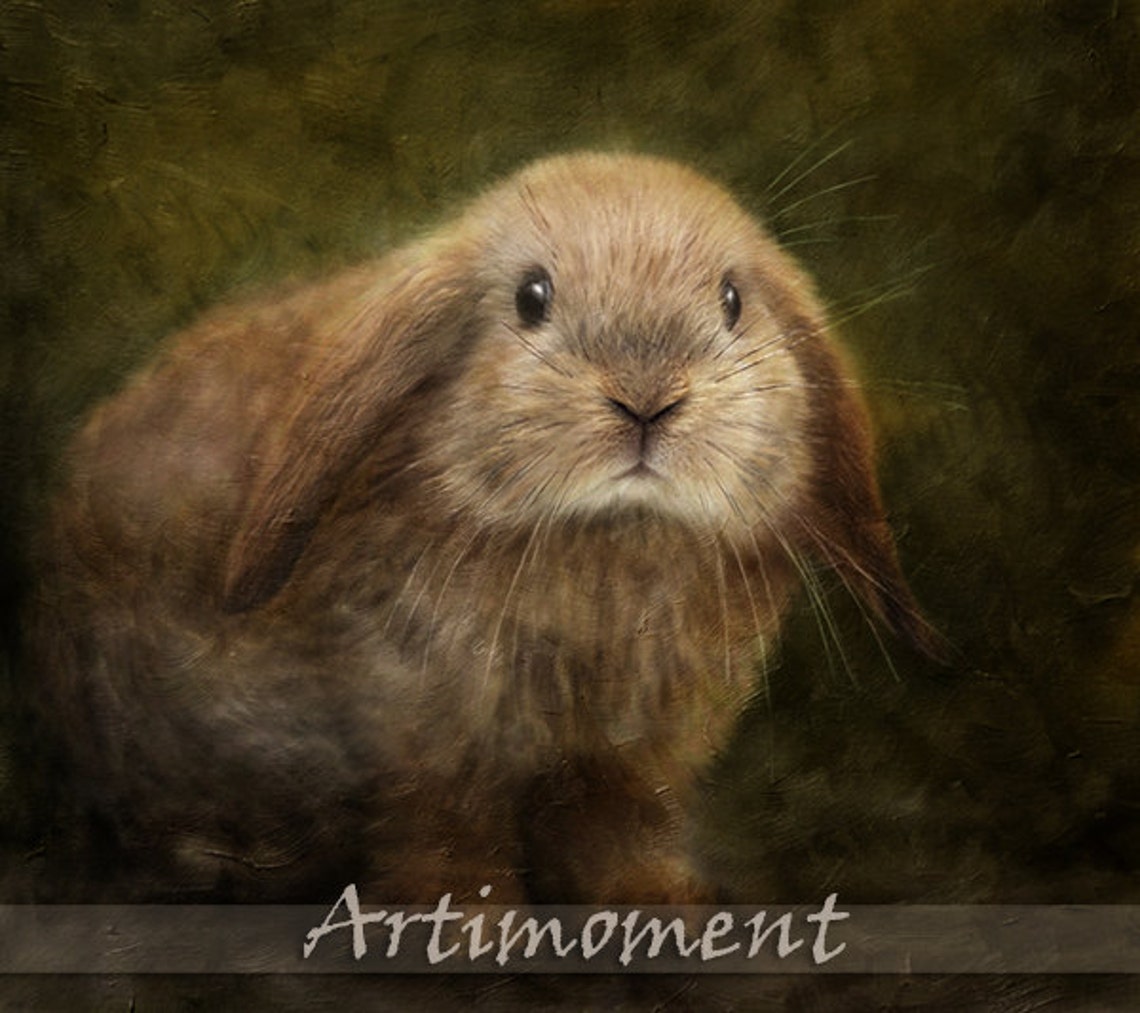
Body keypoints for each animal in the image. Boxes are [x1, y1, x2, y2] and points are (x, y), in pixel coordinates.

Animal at [28, 151, 938, 905]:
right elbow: (447, 824)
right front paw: (467, 925)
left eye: (732, 299)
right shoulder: (425, 729)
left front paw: (662, 905)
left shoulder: (639, 746)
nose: (646, 398)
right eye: (530, 297)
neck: (603, 547)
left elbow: (625, 824)